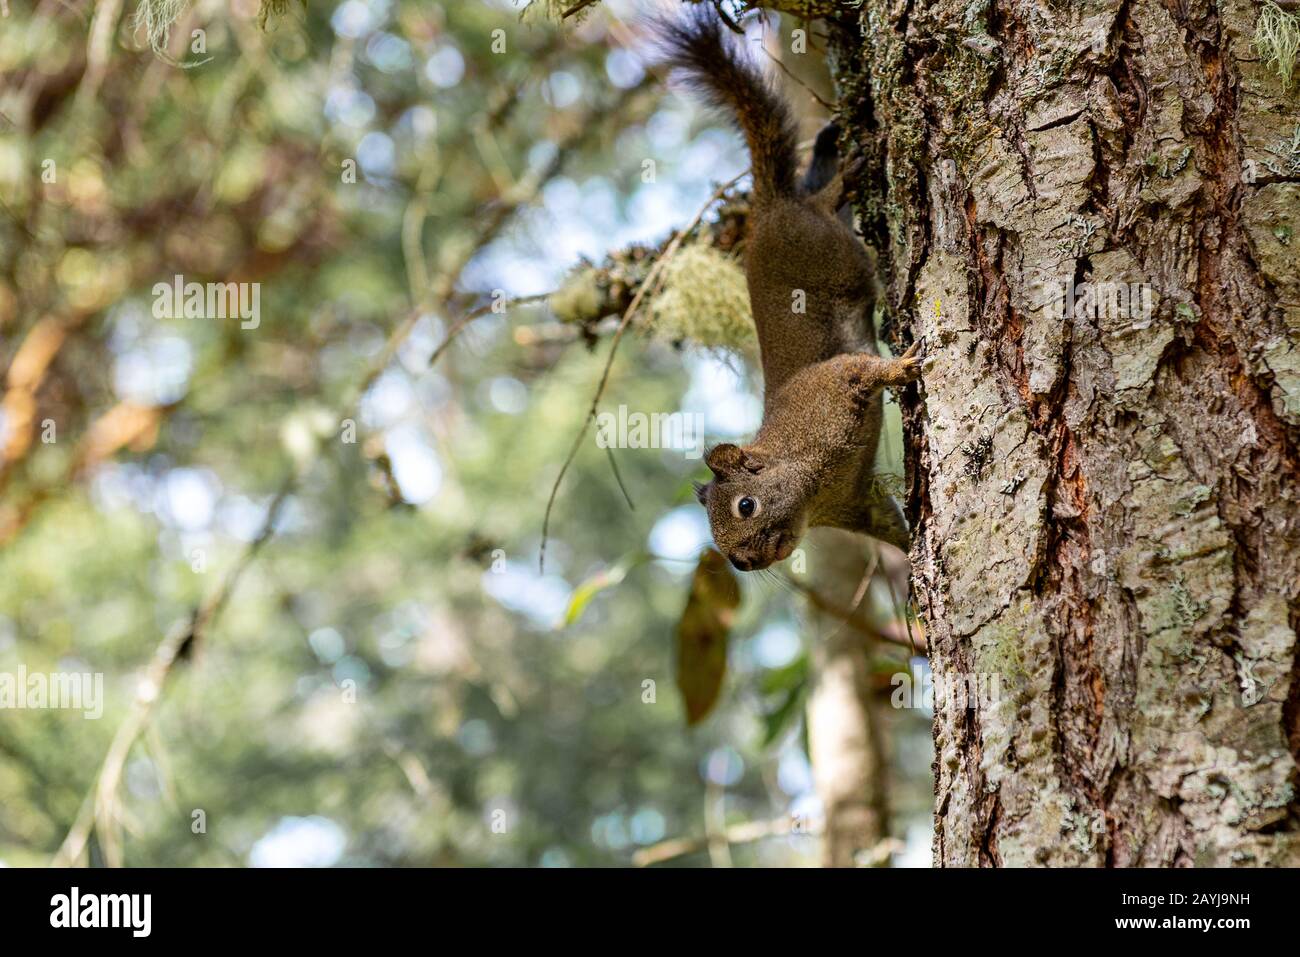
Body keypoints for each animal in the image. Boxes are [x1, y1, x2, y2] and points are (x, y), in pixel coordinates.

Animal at [659, 8, 921, 572]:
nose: (743, 562)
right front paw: (917, 563)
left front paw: (903, 367)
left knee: (821, 200)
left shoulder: (830, 387)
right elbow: (894, 529)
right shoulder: (859, 506)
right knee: (814, 184)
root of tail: (767, 210)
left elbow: (859, 368)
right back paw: (828, 147)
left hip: (817, 239)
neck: (809, 482)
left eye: (746, 505)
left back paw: (845, 175)